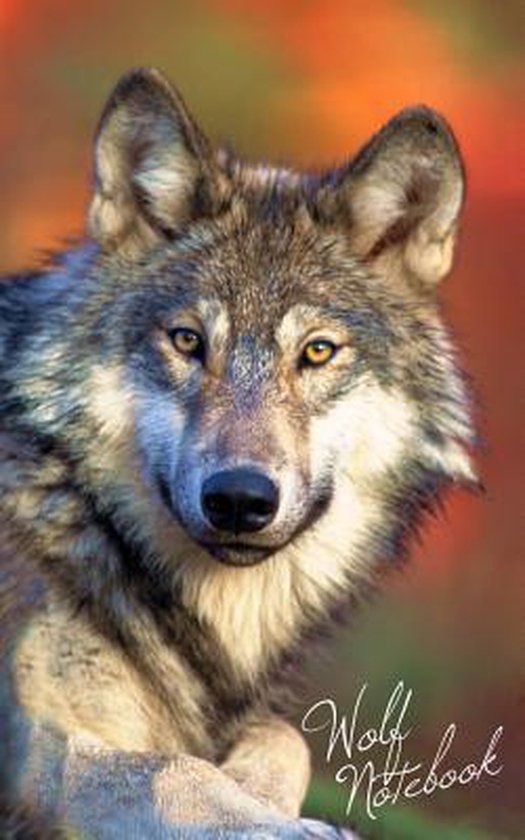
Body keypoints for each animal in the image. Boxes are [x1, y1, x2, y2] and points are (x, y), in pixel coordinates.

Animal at [0, 68, 477, 835]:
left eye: (317, 352)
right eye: (188, 341)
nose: (238, 499)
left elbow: (284, 738)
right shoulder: (39, 748)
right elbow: (175, 769)